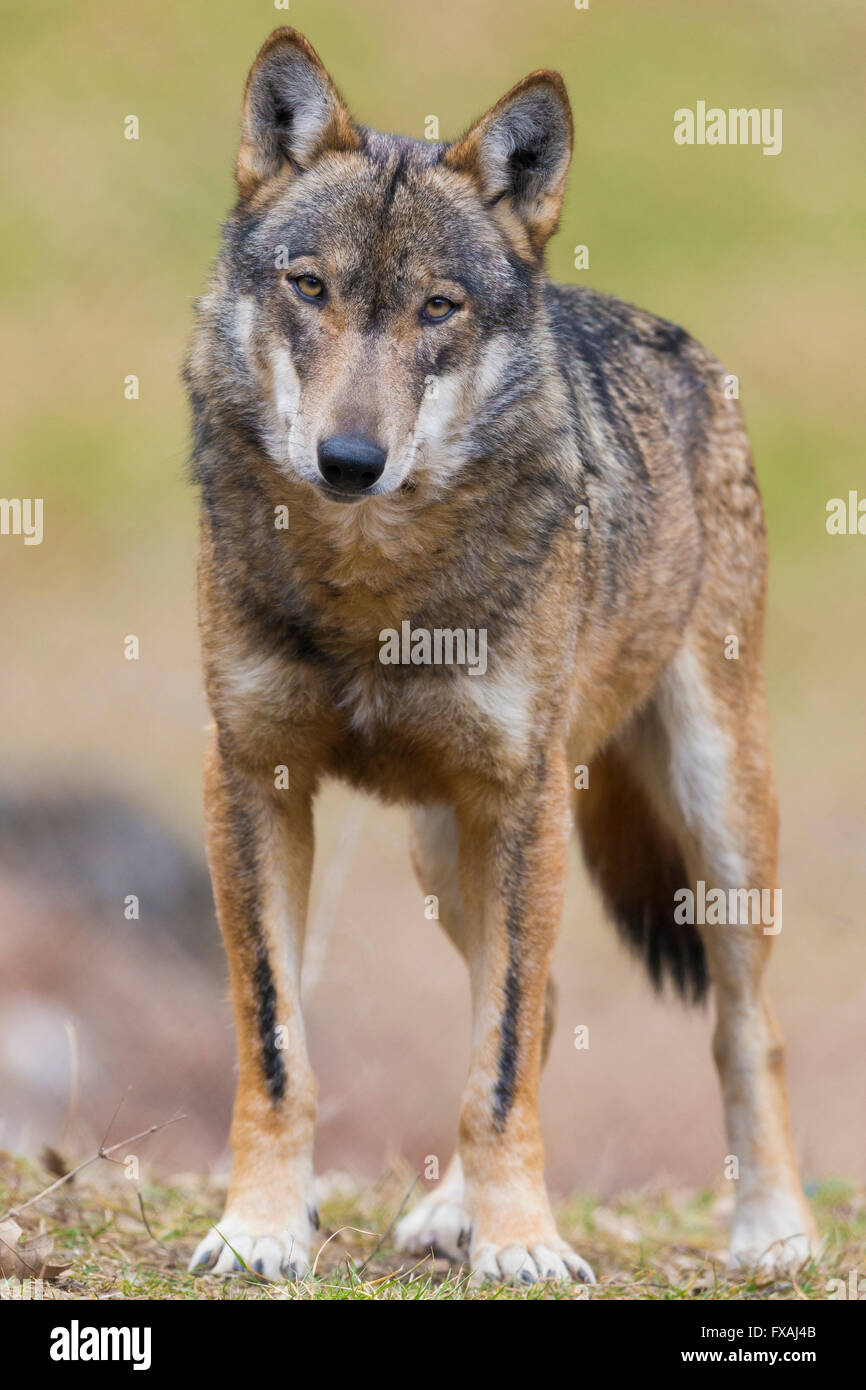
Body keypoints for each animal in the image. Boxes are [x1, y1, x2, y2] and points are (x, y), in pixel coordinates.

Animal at [186, 27, 815, 1285]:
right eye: (310, 287)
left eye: (438, 308)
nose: (348, 459)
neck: (373, 585)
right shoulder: (249, 779)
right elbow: (277, 1044)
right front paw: (260, 1227)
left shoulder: (520, 798)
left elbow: (502, 1056)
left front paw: (521, 1242)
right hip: (447, 848)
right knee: (542, 994)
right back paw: (448, 1210)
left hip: (712, 823)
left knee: (742, 1029)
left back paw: (772, 1229)